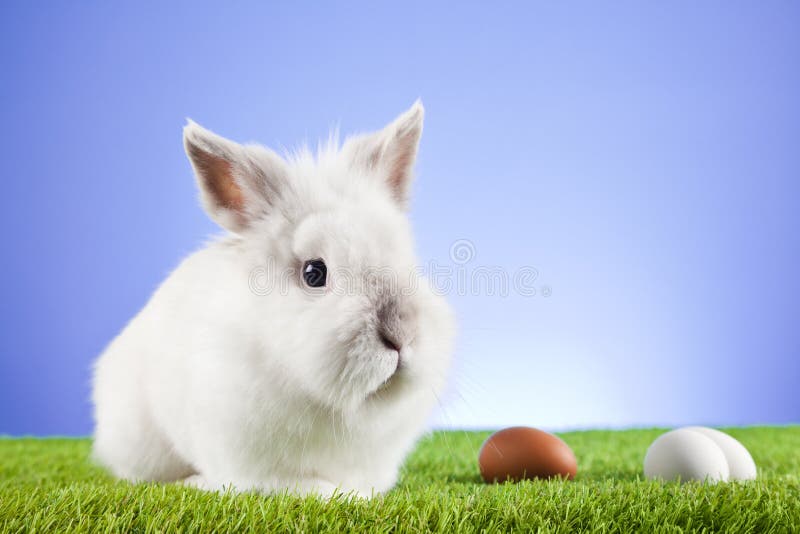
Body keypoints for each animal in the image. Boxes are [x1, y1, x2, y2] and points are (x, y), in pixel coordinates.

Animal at [91, 101, 455, 498]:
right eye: (314, 273)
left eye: (405, 258)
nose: (401, 333)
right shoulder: (253, 465)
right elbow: (310, 489)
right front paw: (349, 499)